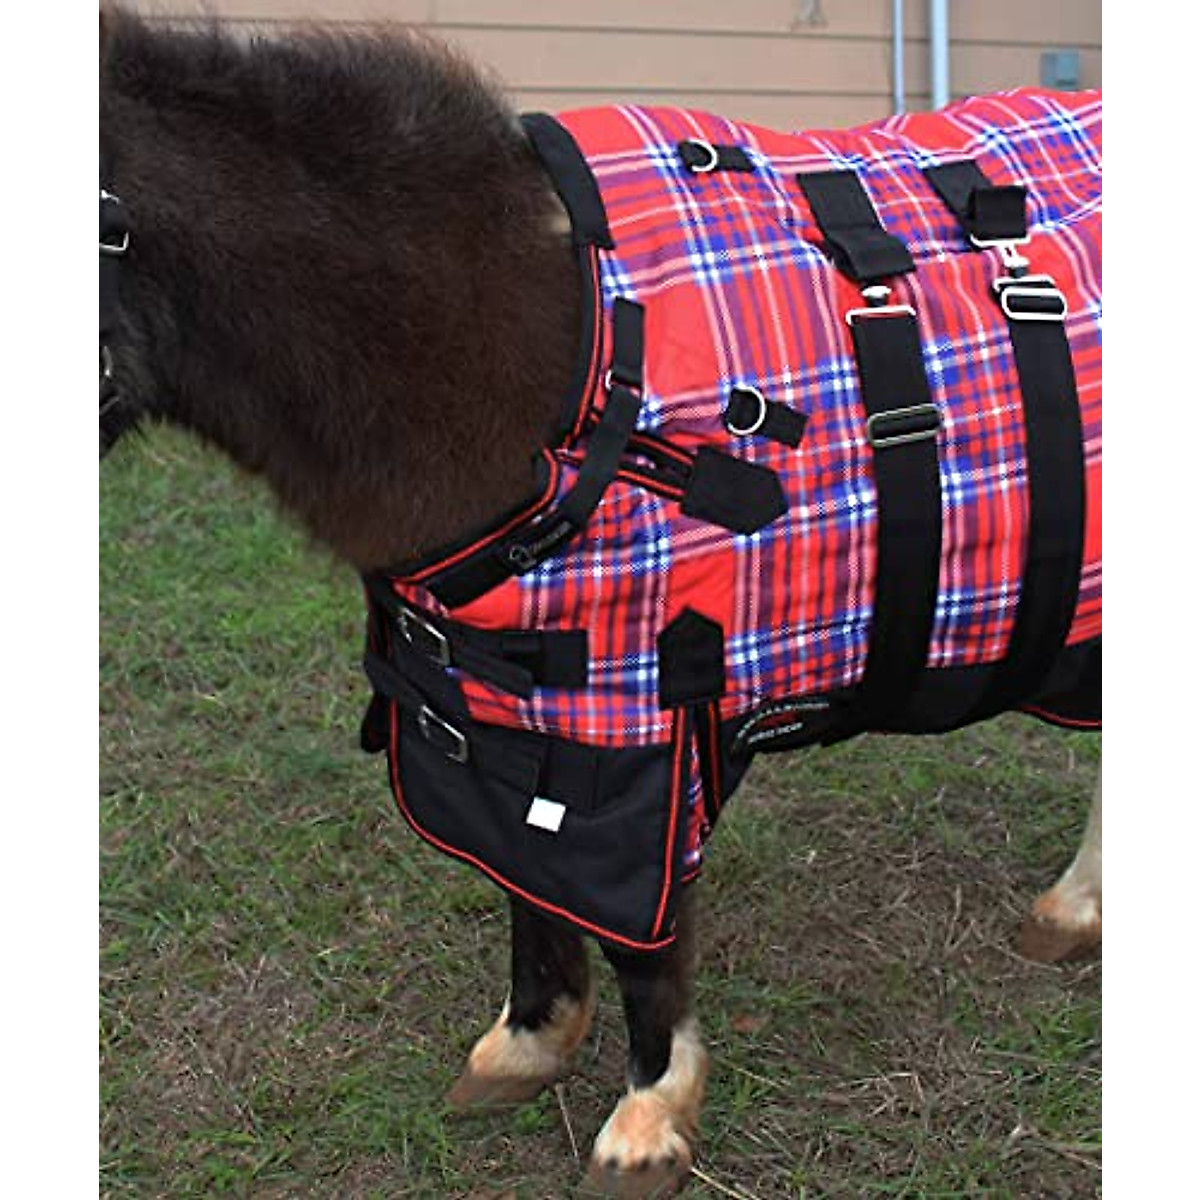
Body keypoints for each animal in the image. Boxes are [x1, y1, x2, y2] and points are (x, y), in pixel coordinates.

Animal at [99, 10, 1101, 1195]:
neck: (543, 348)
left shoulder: (646, 725)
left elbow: (640, 935)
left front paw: (649, 1114)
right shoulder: (504, 713)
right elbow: (525, 881)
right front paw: (529, 1041)